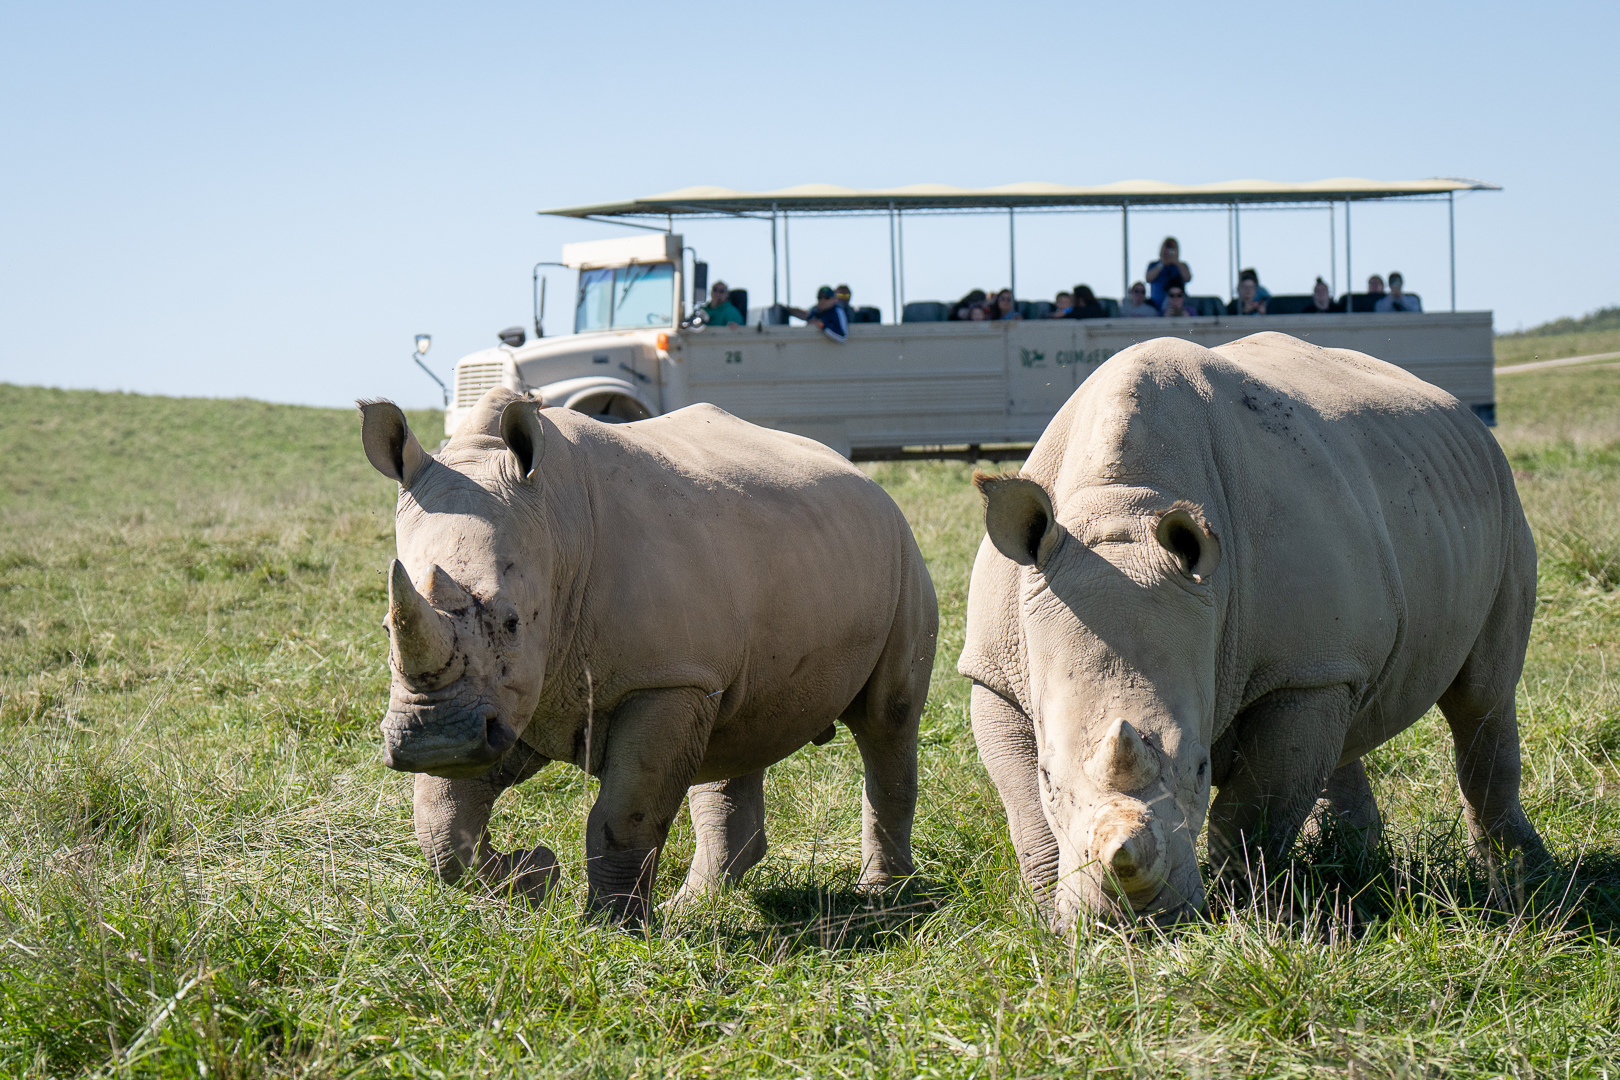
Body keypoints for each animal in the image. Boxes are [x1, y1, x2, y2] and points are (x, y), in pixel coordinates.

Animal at [360, 388, 937, 923]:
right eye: (388, 625)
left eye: (512, 622)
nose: (434, 742)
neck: (555, 524)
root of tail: (868, 480)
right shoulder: (517, 700)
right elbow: (441, 818)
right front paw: (532, 876)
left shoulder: (663, 680)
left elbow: (623, 817)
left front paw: (607, 932)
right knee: (736, 733)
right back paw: (694, 907)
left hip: (903, 554)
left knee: (887, 723)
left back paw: (881, 899)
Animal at [959, 332, 1547, 927]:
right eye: (1049, 777)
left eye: (1200, 769)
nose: (1134, 923)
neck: (1118, 510)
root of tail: (1461, 410)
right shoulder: (995, 671)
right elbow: (1027, 811)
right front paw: (1049, 917)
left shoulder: (1300, 670)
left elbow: (1253, 813)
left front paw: (1239, 908)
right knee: (1355, 713)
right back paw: (1354, 863)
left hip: (1496, 499)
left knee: (1482, 698)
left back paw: (1522, 881)